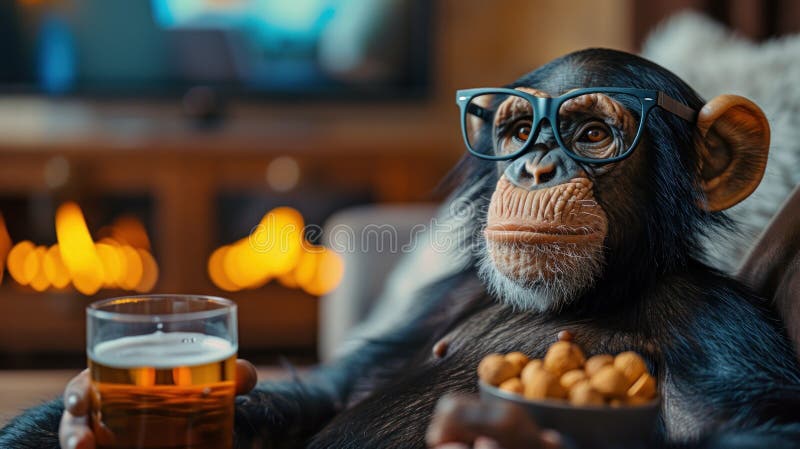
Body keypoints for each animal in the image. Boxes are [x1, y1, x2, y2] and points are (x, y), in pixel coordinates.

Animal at [2, 48, 799, 449]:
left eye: (593, 134)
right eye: (518, 131)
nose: (535, 167)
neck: (589, 294)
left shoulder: (714, 325)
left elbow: (759, 429)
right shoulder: (440, 296)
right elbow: (333, 393)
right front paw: (79, 418)